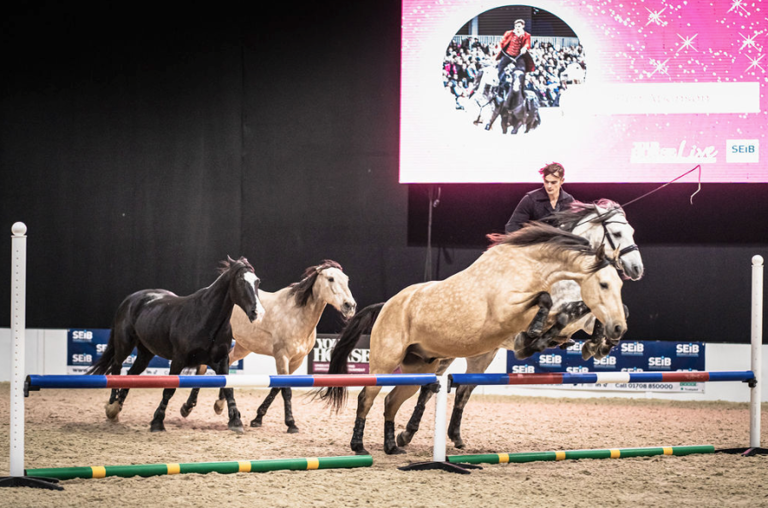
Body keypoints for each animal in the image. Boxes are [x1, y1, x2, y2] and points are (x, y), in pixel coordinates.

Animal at [86, 257, 264, 433]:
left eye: (257, 281)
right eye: (241, 280)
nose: (257, 313)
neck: (205, 319)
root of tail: (130, 299)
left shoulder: (220, 361)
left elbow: (228, 388)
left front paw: (235, 421)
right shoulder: (179, 360)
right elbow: (169, 390)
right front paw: (157, 422)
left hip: (146, 353)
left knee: (131, 374)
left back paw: (118, 407)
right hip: (124, 345)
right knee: (116, 368)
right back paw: (112, 408)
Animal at [180, 260, 356, 433]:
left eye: (347, 280)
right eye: (331, 279)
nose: (350, 306)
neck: (297, 316)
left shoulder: (295, 361)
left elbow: (276, 387)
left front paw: (257, 418)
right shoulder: (282, 357)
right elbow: (286, 390)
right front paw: (291, 424)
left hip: (243, 348)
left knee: (227, 365)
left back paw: (219, 404)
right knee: (203, 368)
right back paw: (187, 407)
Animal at [319, 223, 627, 455]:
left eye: (620, 284)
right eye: (603, 284)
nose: (618, 330)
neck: (527, 267)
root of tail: (387, 305)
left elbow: (563, 315)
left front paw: (560, 341)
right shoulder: (507, 313)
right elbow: (546, 300)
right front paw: (537, 338)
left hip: (419, 367)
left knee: (393, 401)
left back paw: (393, 446)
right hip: (385, 363)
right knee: (367, 398)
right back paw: (359, 445)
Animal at [396, 199, 644, 449]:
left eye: (633, 231)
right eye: (617, 233)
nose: (637, 269)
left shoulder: (589, 316)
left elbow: (612, 312)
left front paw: (598, 345)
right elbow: (568, 310)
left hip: (481, 355)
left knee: (463, 390)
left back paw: (455, 436)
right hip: (445, 353)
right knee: (428, 387)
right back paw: (406, 434)